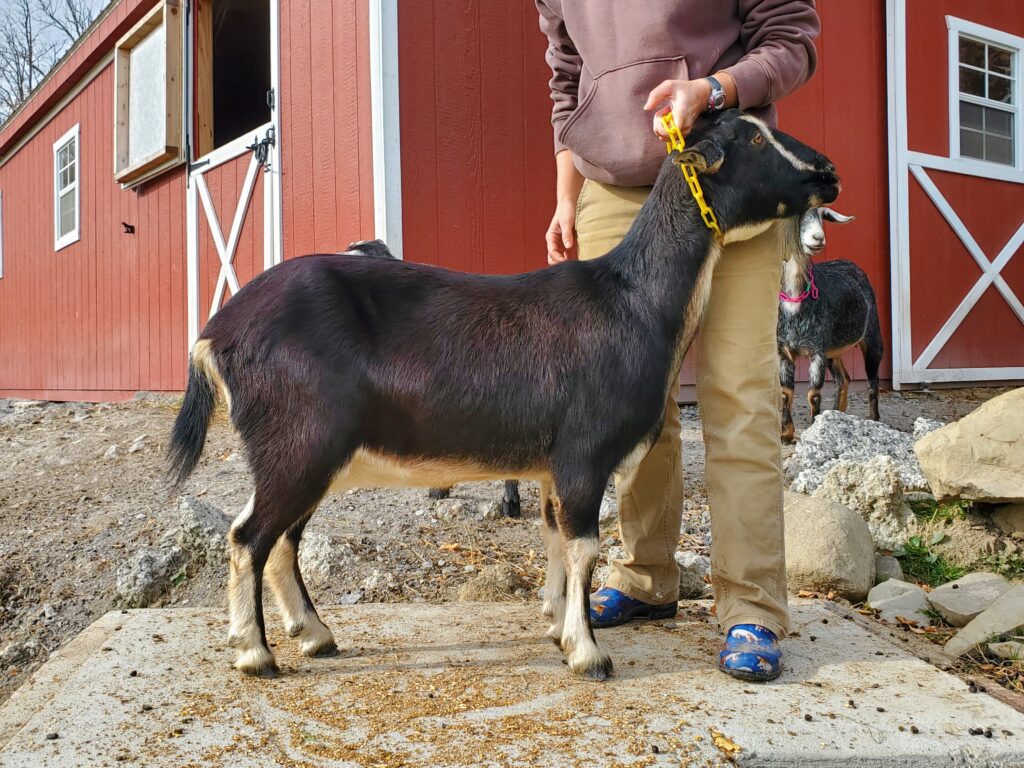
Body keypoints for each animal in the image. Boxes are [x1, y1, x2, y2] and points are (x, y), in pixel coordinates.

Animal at [167, 109, 840, 682]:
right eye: (752, 141)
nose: (827, 172)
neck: (633, 301)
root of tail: (214, 334)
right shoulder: (583, 453)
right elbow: (584, 547)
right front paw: (589, 654)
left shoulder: (550, 466)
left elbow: (555, 539)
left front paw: (559, 629)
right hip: (300, 444)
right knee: (248, 537)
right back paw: (255, 654)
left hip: (304, 454)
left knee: (281, 539)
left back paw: (314, 635)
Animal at [777, 207, 883, 443]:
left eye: (821, 216)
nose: (818, 237)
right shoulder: (783, 351)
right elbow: (786, 393)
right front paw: (786, 434)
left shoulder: (817, 349)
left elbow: (813, 394)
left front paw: (813, 428)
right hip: (834, 350)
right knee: (844, 378)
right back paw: (836, 415)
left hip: (872, 336)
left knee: (872, 381)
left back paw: (874, 419)